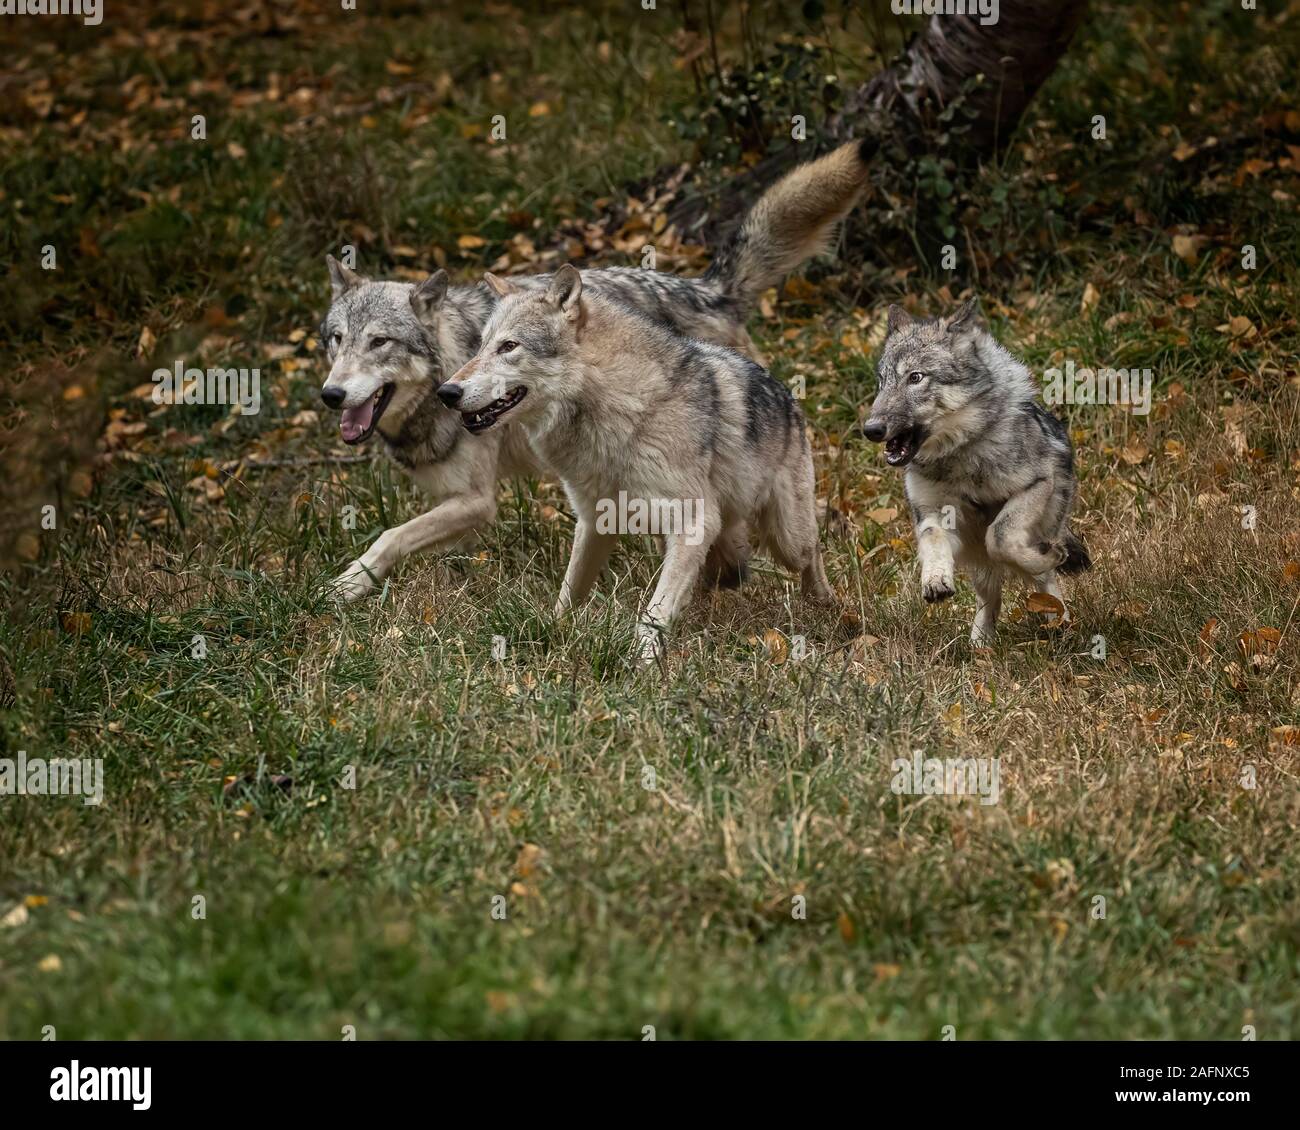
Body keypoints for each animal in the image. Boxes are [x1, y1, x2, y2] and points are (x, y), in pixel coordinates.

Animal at [317, 140, 871, 600]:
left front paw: (344, 586)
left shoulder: (475, 500)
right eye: (336, 341)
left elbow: (390, 534)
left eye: (379, 342)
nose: (331, 395)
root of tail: (711, 289)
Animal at [436, 264, 835, 662]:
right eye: (481, 346)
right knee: (728, 572)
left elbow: (655, 609)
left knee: (811, 552)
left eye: (508, 346)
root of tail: (786, 393)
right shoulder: (594, 522)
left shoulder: (695, 523)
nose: (446, 392)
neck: (618, 405)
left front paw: (641, 661)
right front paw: (553, 633)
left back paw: (826, 606)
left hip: (787, 539)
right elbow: (569, 592)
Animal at [861, 299, 1091, 644]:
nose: (871, 429)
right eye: (881, 381)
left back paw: (1058, 621)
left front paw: (1049, 556)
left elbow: (1000, 535)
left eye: (915, 377)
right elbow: (932, 539)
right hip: (979, 563)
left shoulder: (1036, 484)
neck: (960, 456)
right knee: (990, 599)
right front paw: (935, 579)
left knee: (1044, 579)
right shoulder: (932, 512)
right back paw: (980, 645)